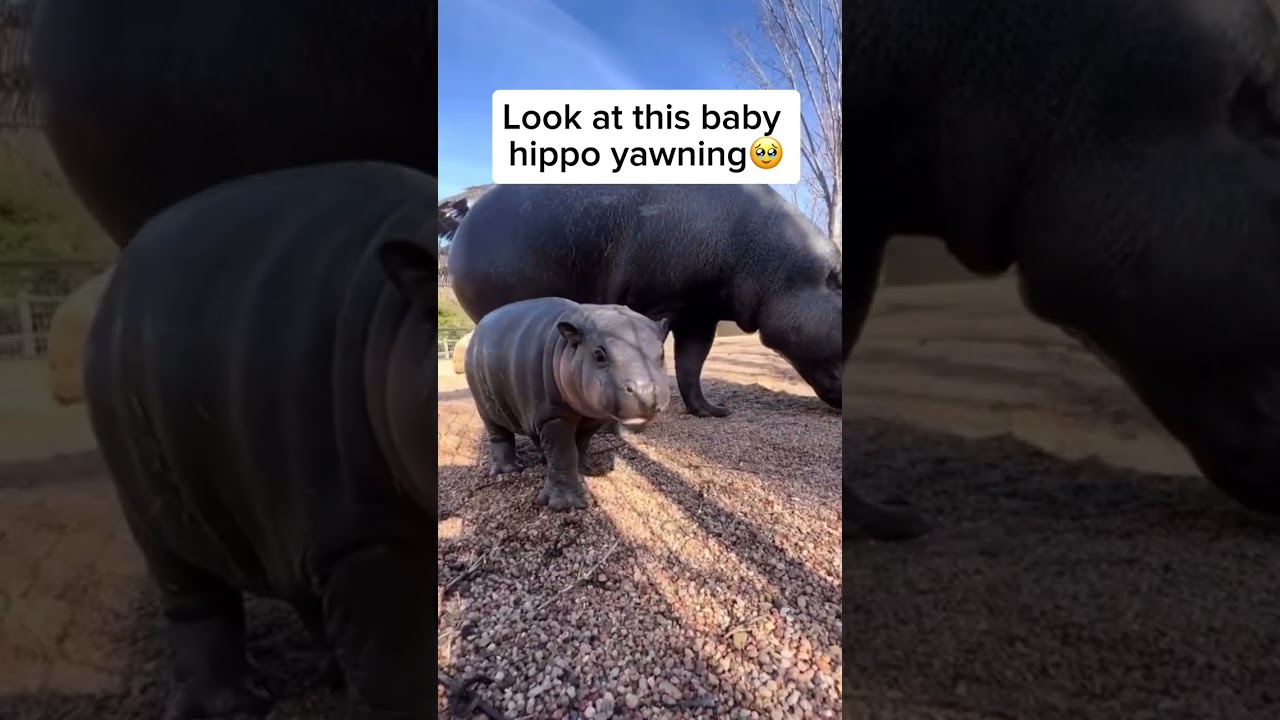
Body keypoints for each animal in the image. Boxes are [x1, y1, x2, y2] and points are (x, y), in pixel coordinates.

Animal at [84, 162, 438, 719]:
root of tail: (112, 292)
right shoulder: (368, 536)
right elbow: (397, 669)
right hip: (154, 514)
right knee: (196, 601)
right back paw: (234, 705)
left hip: (281, 513)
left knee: (301, 591)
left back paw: (327, 677)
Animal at [465, 297, 670, 510]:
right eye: (598, 354)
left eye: (662, 353)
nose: (647, 391)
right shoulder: (554, 416)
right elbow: (562, 452)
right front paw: (567, 504)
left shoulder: (591, 417)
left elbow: (580, 445)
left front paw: (587, 470)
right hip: (485, 406)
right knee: (499, 434)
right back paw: (510, 470)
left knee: (535, 435)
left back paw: (541, 460)